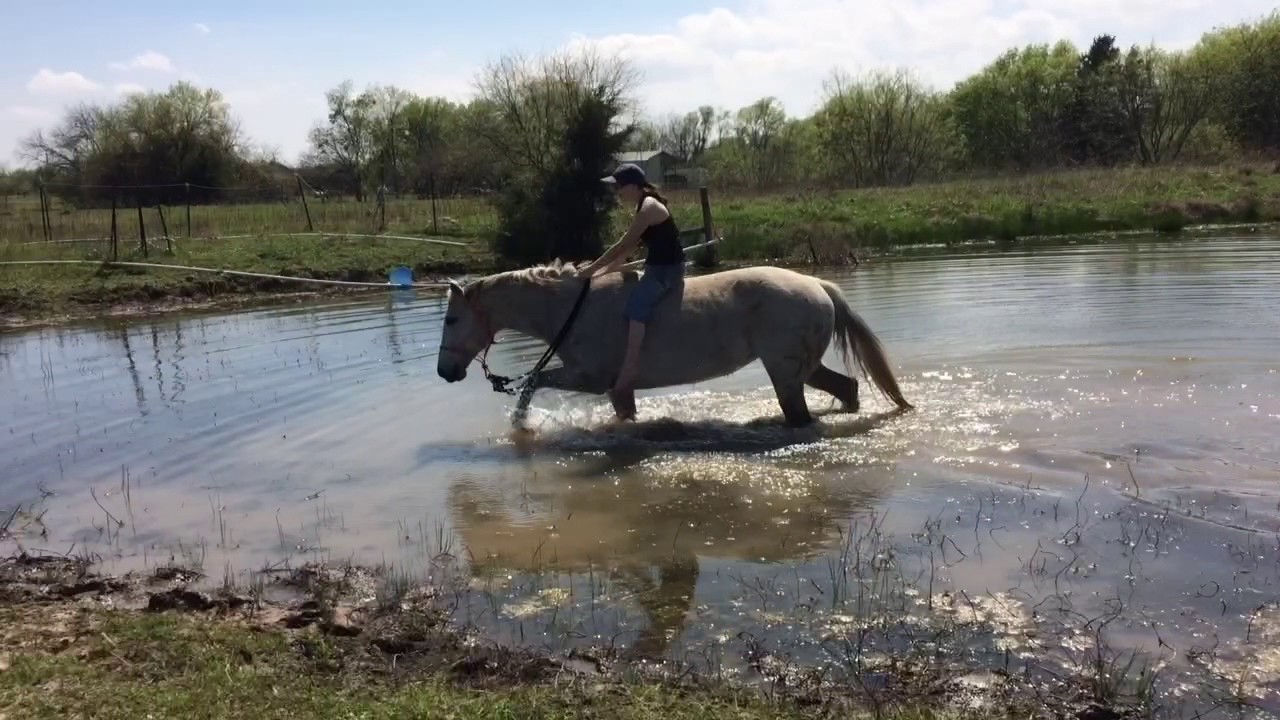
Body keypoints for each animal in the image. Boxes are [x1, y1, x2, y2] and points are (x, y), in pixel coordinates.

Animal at [436, 261, 913, 428]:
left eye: (452, 318)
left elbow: (533, 381)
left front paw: (521, 425)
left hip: (786, 373)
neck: (572, 309)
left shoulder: (590, 378)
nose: (445, 372)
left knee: (801, 414)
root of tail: (817, 284)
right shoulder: (617, 388)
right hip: (804, 369)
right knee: (847, 388)